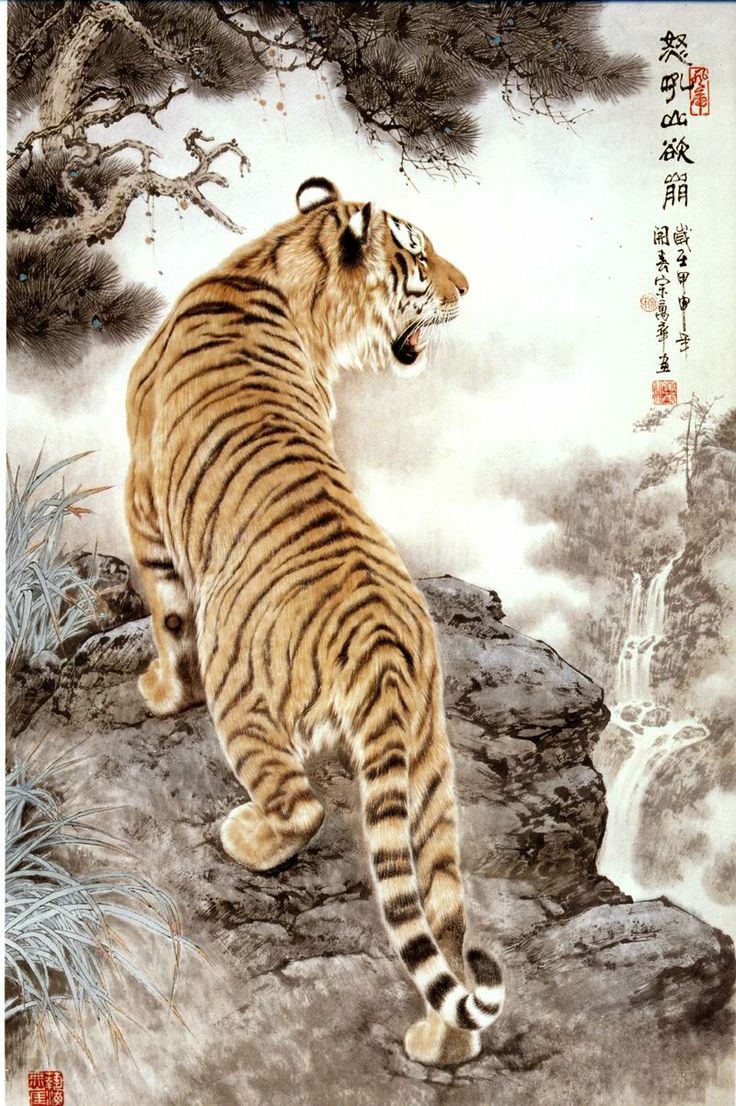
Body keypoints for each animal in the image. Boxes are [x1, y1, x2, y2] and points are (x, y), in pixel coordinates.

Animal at [125, 176, 504, 1066]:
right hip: (429, 775)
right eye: (419, 255)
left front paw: (159, 693)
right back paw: (438, 1046)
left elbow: (167, 617)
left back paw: (244, 838)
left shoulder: (144, 505)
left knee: (300, 808)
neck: (277, 266)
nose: (468, 288)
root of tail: (387, 647)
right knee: (441, 916)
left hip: (247, 699)